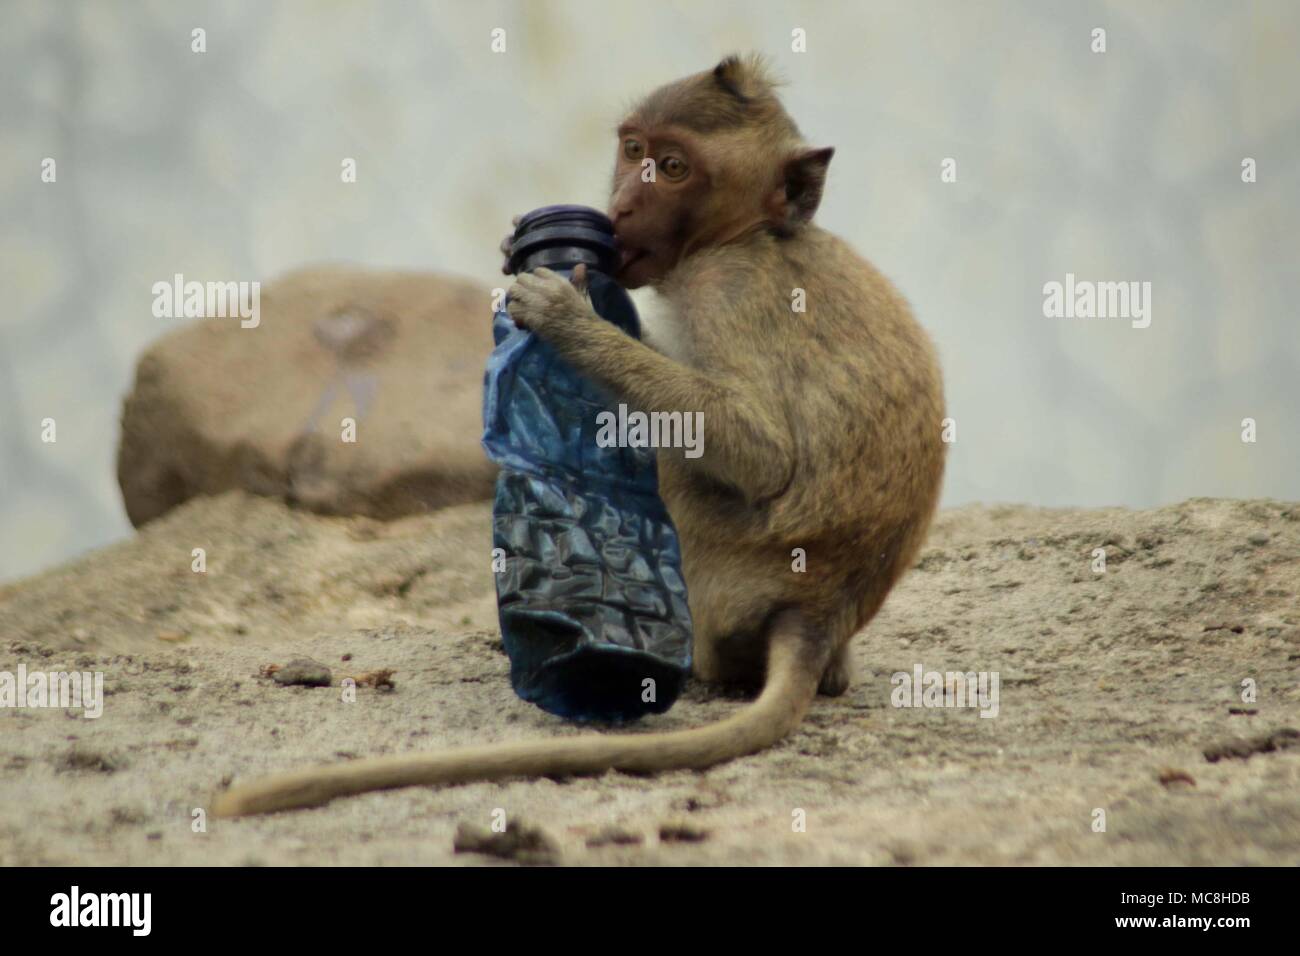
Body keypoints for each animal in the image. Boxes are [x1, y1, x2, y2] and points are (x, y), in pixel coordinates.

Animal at [212, 54, 946, 818]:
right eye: (633, 149)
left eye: (674, 167)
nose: (620, 208)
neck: (748, 235)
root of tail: (820, 610)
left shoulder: (728, 287)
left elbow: (761, 453)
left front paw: (569, 319)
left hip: (722, 571)